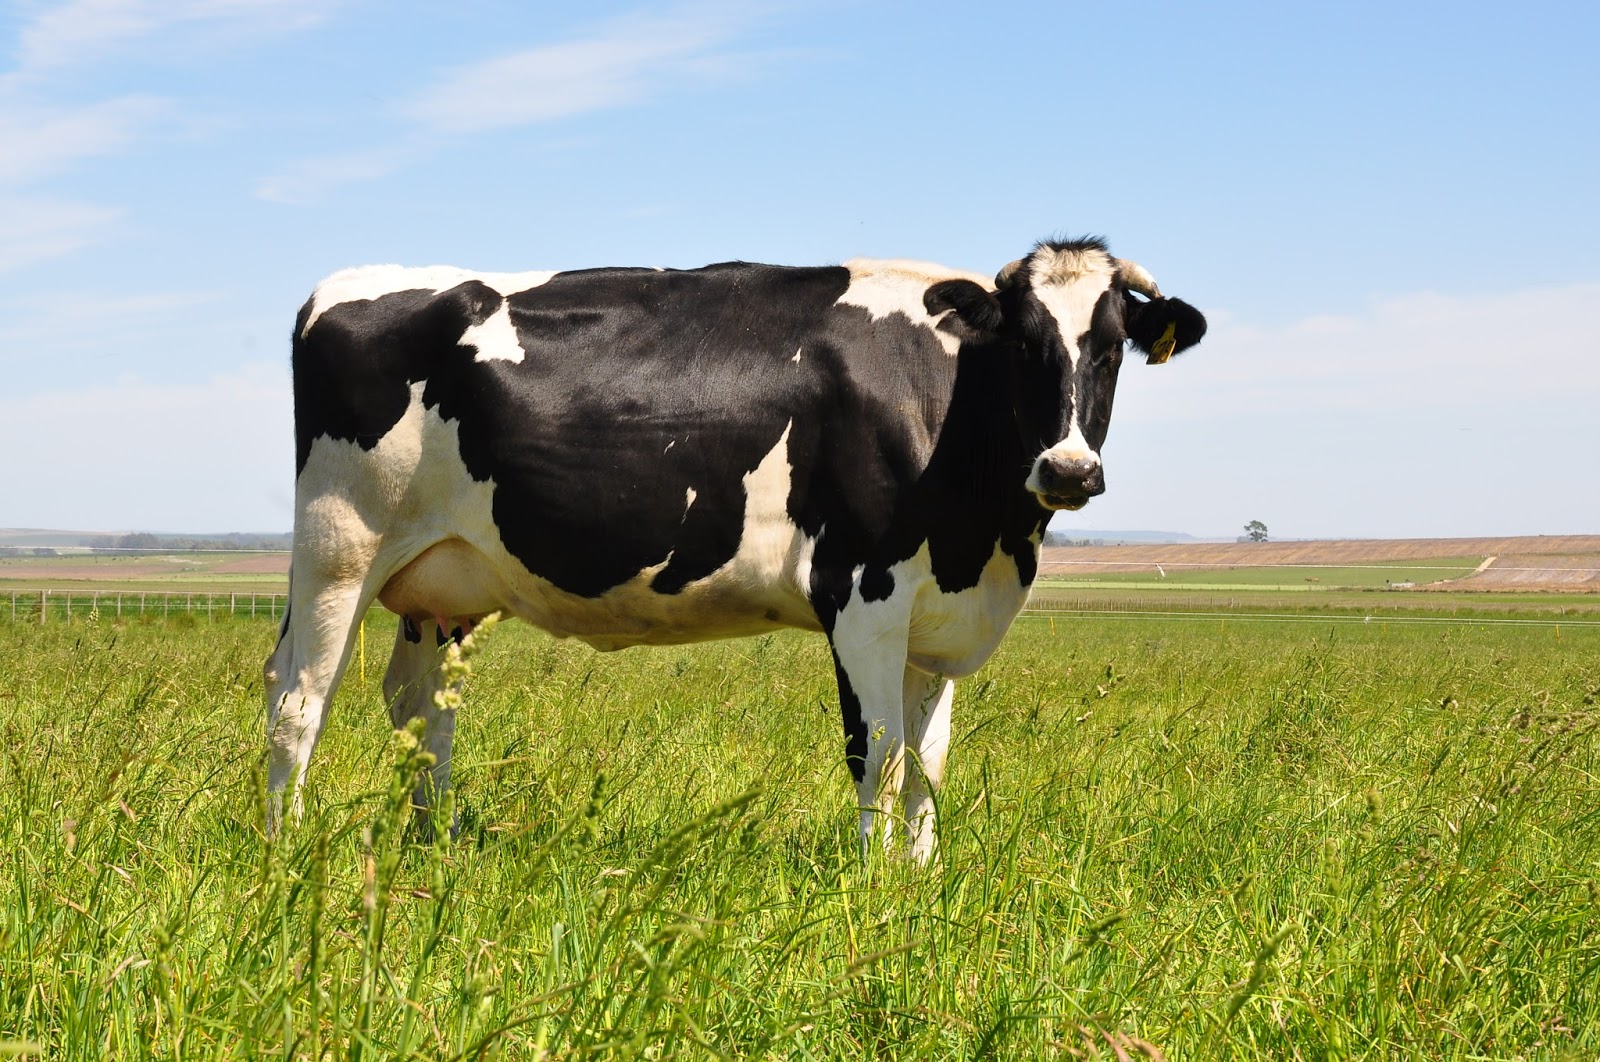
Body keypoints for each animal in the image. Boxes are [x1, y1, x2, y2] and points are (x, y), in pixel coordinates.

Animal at [263, 237, 1206, 861]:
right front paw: (871, 888)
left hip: (442, 583)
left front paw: (922, 879)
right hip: (340, 546)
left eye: (1111, 348)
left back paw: (436, 846)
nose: (1070, 468)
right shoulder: (861, 592)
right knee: (298, 699)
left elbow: (929, 764)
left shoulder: (938, 616)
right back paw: (287, 850)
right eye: (1023, 345)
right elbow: (878, 754)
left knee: (421, 710)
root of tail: (339, 287)